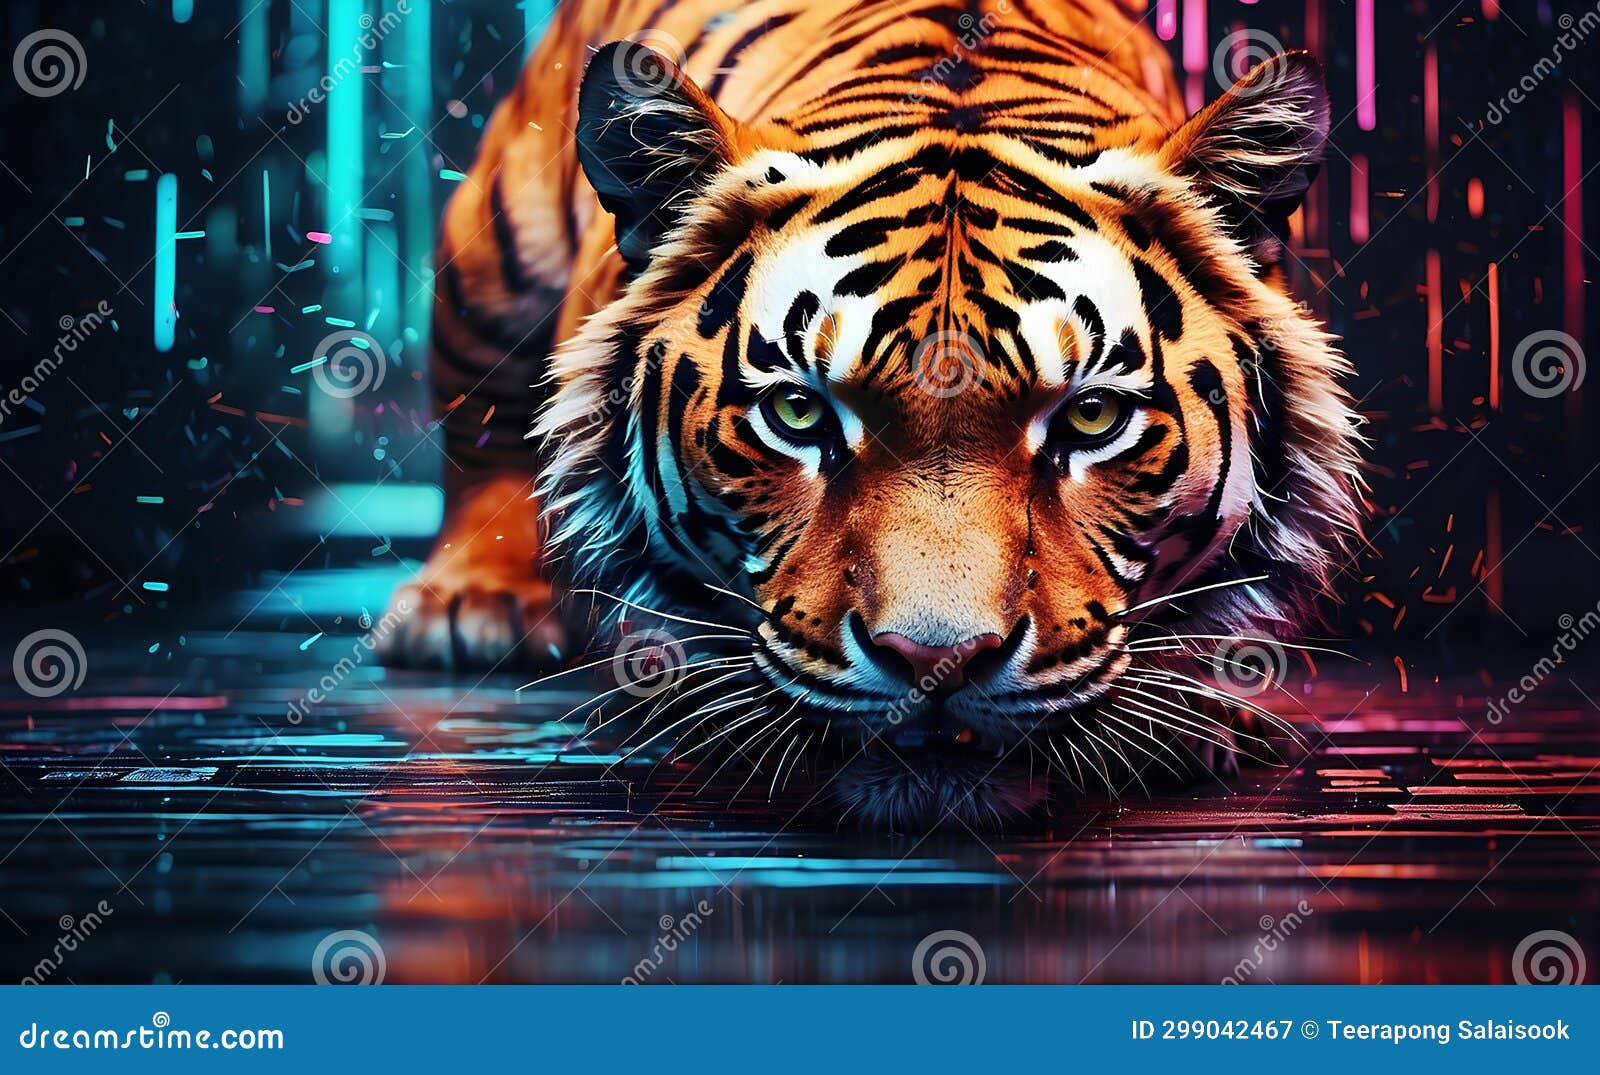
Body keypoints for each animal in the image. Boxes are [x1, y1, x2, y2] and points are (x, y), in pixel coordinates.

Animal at [380, 0, 1363, 828]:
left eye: (1090, 419)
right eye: (796, 412)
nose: (936, 663)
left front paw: (1202, 716)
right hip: (490, 260)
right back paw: (469, 601)